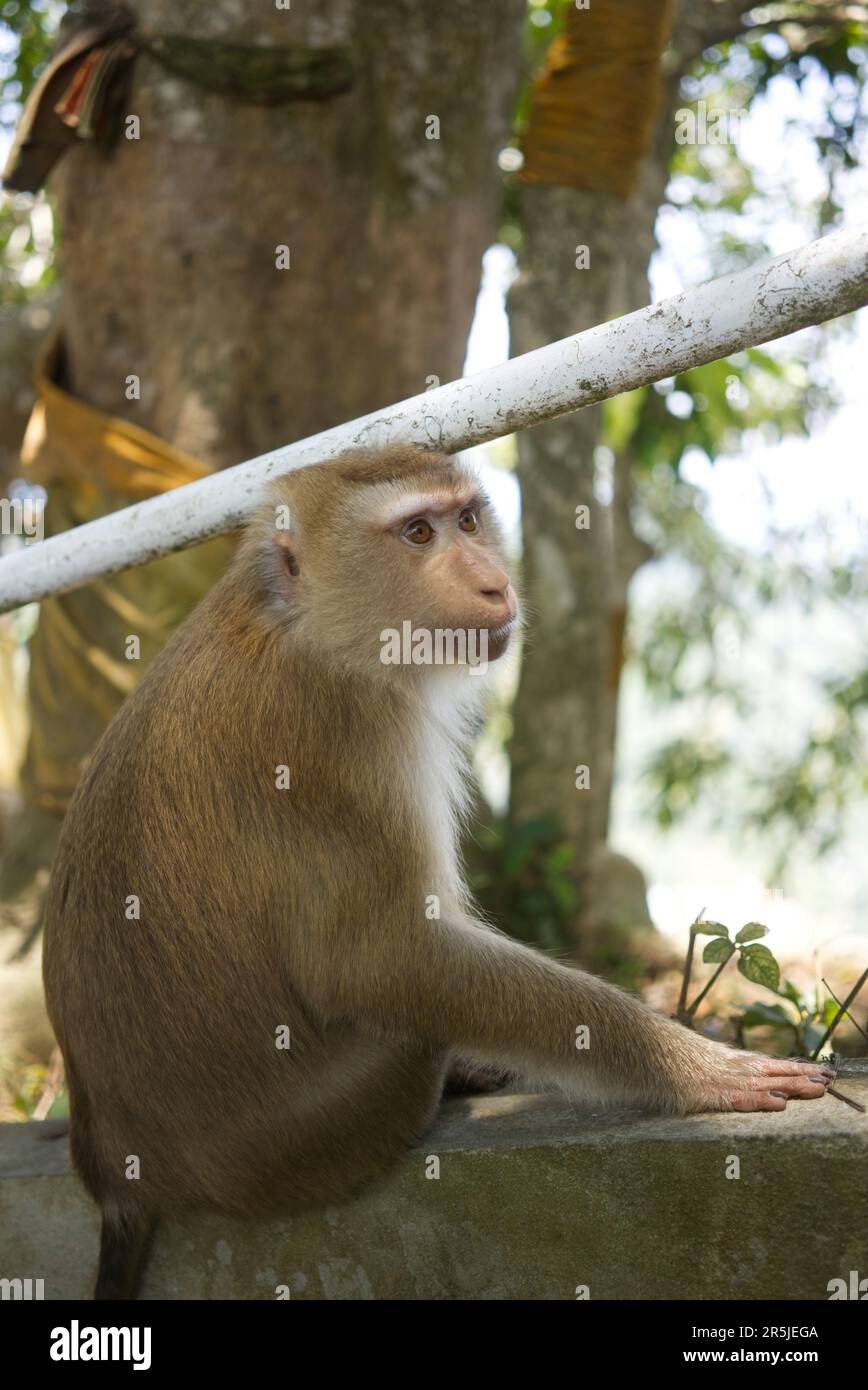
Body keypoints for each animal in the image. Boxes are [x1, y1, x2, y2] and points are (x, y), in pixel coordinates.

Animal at [41, 445, 832, 1301]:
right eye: (417, 533)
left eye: (468, 520)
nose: (494, 581)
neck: (297, 619)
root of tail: (116, 1174)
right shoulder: (349, 735)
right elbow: (385, 960)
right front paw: (689, 1065)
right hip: (305, 1141)